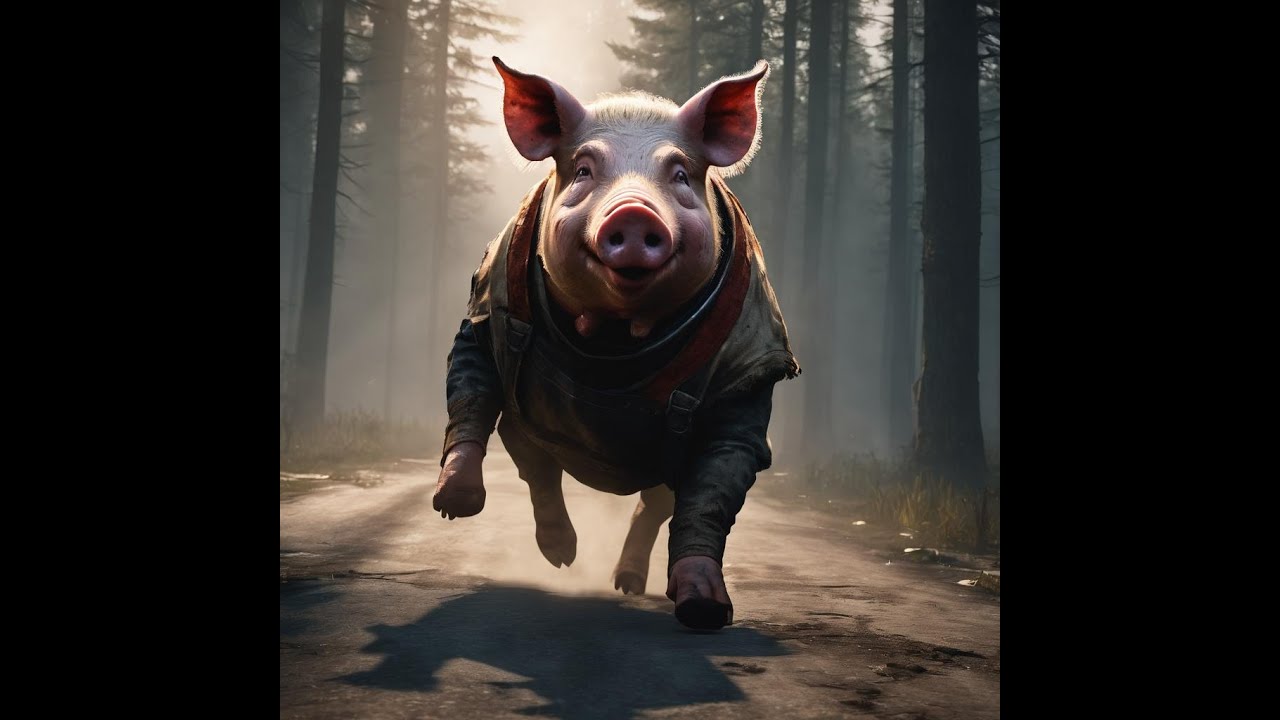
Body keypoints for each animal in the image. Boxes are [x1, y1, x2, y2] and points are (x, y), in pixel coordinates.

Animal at [433, 56, 800, 630]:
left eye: (679, 174)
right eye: (584, 170)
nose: (633, 212)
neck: (614, 337)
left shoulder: (750, 371)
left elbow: (718, 481)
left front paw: (705, 611)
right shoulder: (487, 308)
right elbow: (471, 390)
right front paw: (456, 505)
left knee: (655, 505)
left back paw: (626, 584)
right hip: (525, 422)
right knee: (534, 463)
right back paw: (562, 558)